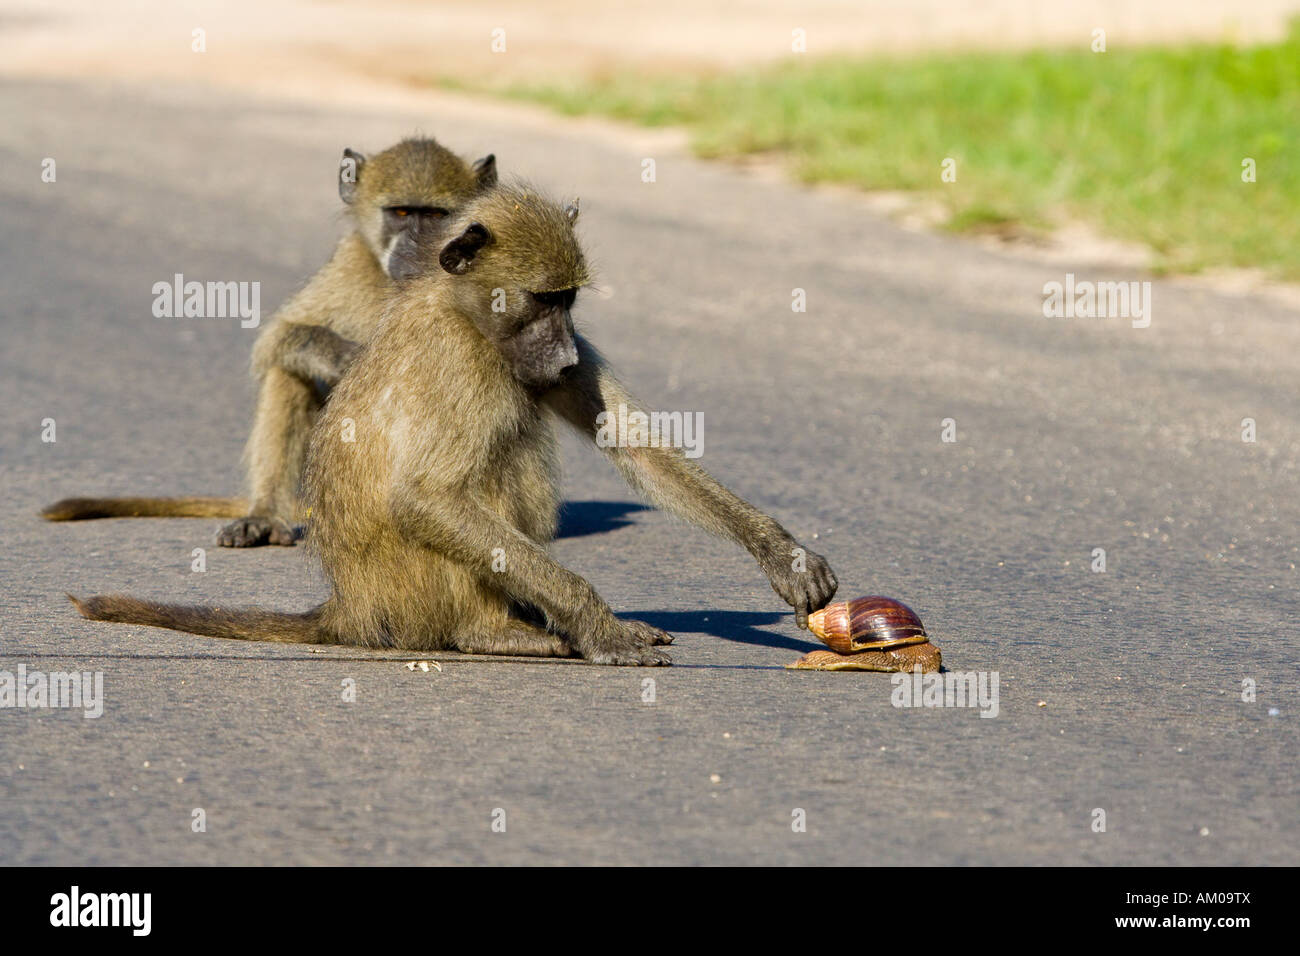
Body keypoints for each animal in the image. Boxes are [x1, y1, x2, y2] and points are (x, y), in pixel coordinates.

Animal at [41, 137, 498, 548]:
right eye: (401, 213)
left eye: (437, 215)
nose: (418, 251)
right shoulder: (350, 263)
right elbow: (278, 338)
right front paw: (343, 358)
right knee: (288, 372)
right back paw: (265, 515)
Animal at [70, 182, 838, 665]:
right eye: (542, 299)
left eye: (569, 301)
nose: (565, 359)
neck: (466, 310)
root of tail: (349, 608)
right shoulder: (463, 364)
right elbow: (425, 497)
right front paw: (596, 623)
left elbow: (635, 447)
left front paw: (784, 556)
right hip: (408, 594)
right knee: (499, 462)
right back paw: (495, 633)